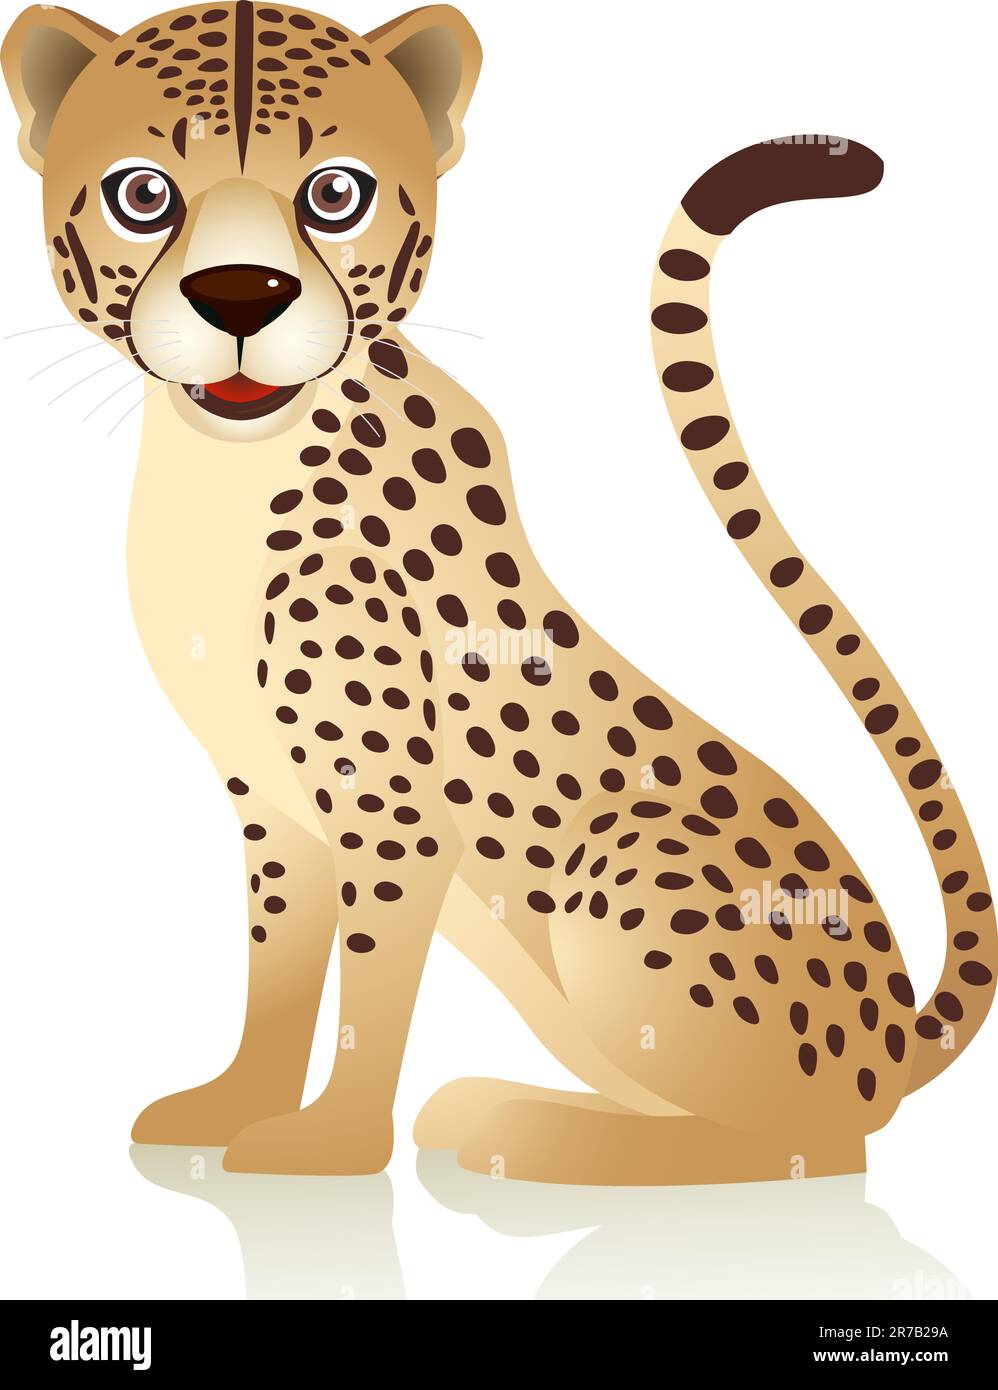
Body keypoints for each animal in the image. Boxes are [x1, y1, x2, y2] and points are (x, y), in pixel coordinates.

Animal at [3, 2, 994, 1183]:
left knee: (812, 1141)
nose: (241, 295)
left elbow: (369, 984)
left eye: (334, 194)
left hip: (626, 867)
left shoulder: (389, 811)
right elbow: (276, 972)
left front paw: (332, 1142)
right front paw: (236, 1106)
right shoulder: (274, 809)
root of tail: (894, 1026)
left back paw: (527, 1130)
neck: (236, 459)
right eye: (143, 193)